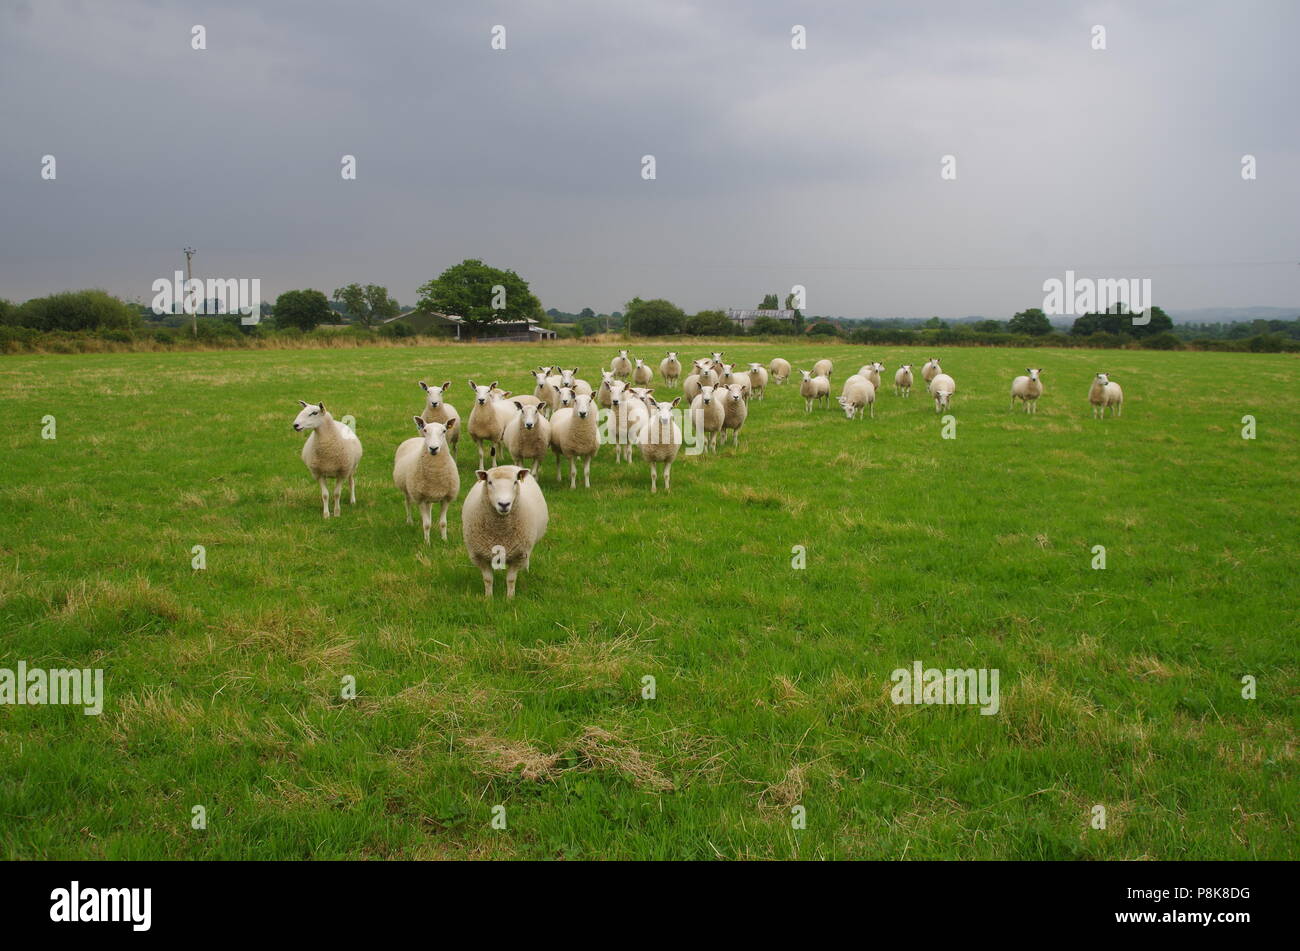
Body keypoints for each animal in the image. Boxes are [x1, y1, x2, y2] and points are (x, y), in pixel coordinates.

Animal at [462, 465, 548, 599]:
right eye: (490, 482)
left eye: (515, 482)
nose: (504, 504)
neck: (500, 531)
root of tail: (509, 465)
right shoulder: (480, 556)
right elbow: (488, 579)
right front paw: (488, 598)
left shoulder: (518, 555)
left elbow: (511, 580)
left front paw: (510, 598)